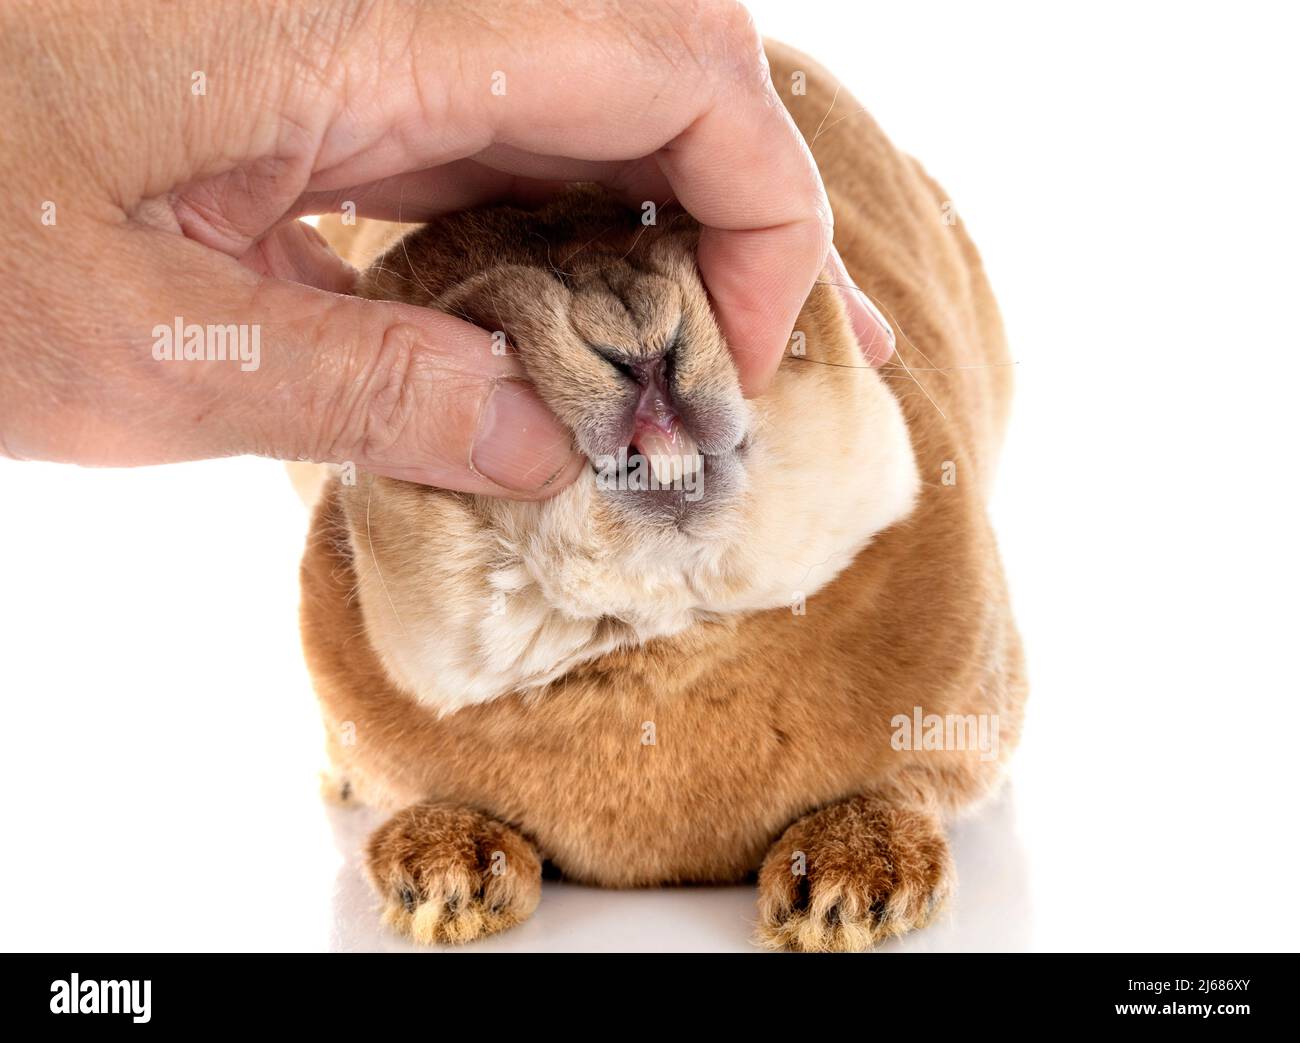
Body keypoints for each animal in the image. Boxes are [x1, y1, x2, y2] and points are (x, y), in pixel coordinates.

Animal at [299, 40, 1024, 952]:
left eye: (698, 252)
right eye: (480, 336)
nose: (640, 345)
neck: (663, 639)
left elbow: (917, 780)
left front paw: (854, 882)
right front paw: (444, 870)